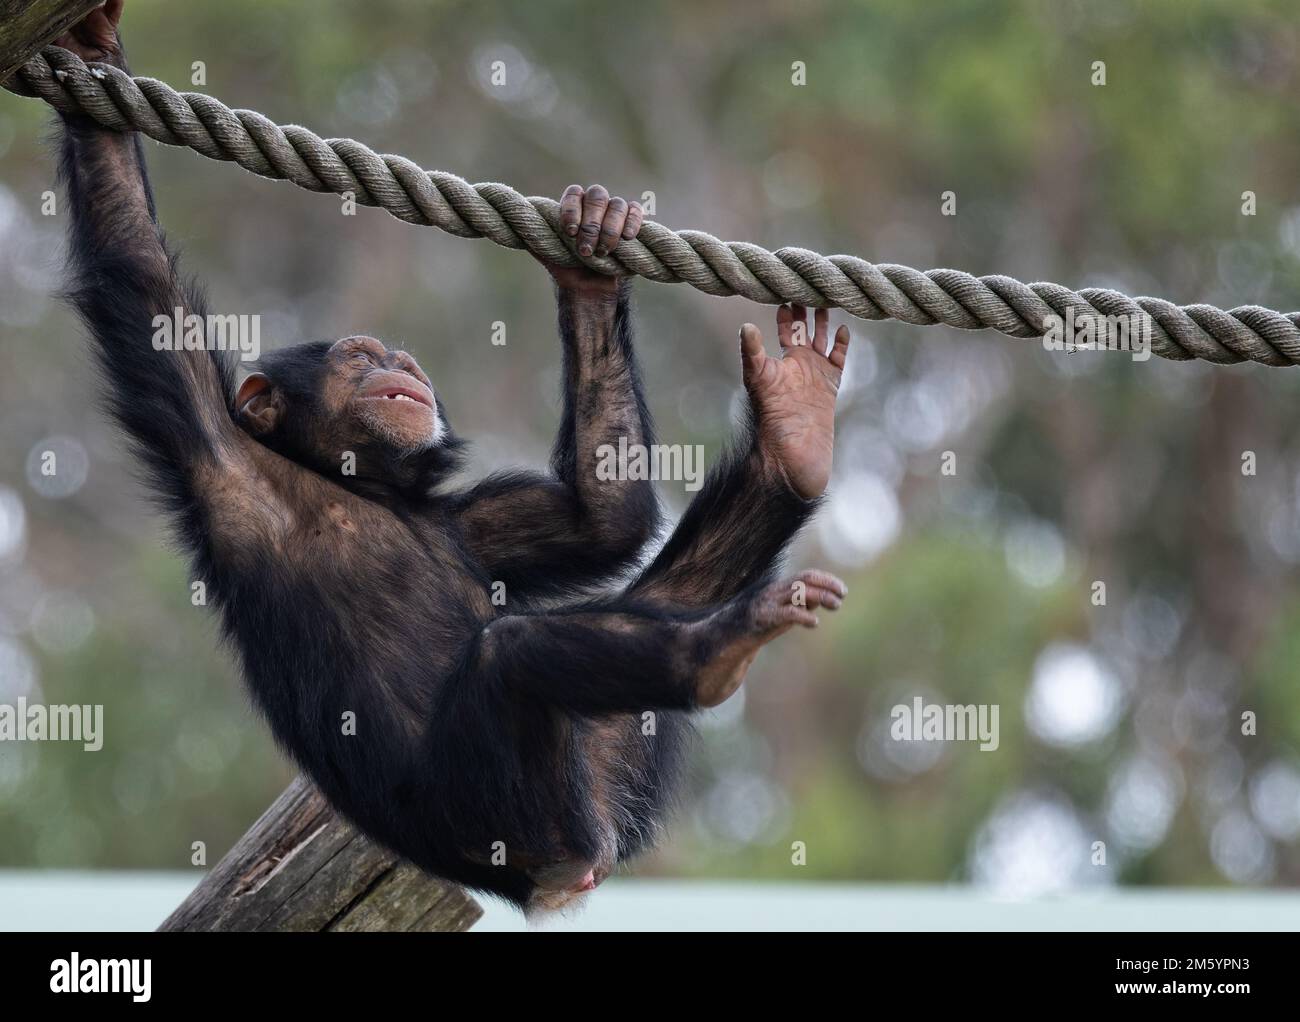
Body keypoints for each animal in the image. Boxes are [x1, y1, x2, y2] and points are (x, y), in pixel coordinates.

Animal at [52, 2, 852, 911]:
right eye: (358, 356)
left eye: (392, 356)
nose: (402, 366)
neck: (356, 483)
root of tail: (559, 879)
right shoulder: (217, 454)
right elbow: (137, 273)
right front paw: (93, 65)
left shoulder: (468, 520)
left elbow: (600, 520)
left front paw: (587, 270)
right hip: (519, 811)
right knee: (517, 652)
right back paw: (718, 650)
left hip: (604, 764)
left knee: (651, 599)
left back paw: (793, 438)